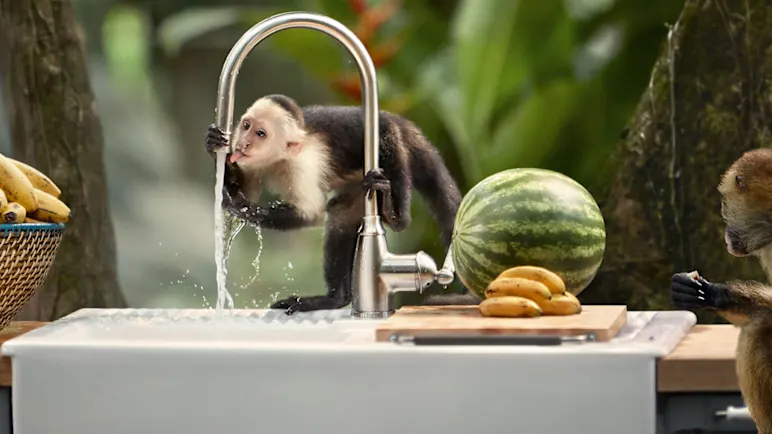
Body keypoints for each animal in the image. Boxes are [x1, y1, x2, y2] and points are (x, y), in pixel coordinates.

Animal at [205, 94, 481, 314]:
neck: (278, 157)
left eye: (261, 134)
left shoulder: (300, 166)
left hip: (397, 148)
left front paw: (244, 210)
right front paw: (215, 149)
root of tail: (408, 126)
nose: (244, 143)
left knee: (387, 129)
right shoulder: (249, 160)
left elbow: (310, 215)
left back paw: (396, 215)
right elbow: (246, 187)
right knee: (341, 215)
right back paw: (334, 298)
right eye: (246, 125)